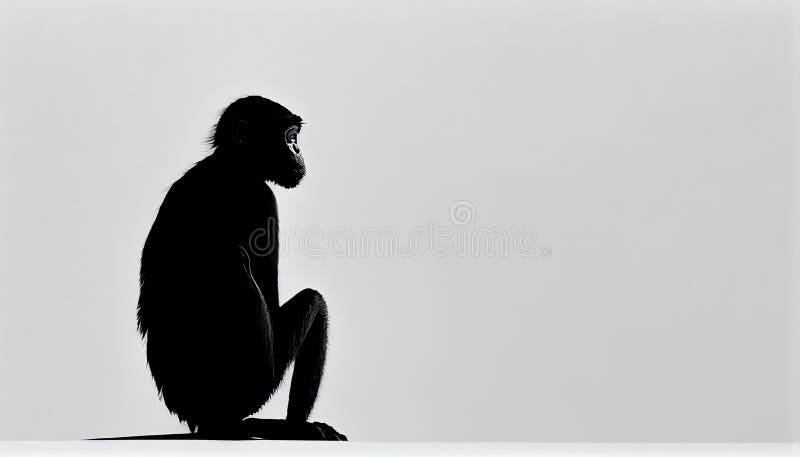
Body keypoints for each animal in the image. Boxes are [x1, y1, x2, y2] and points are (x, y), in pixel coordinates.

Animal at [136, 96, 345, 440]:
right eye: (289, 136)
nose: (297, 149)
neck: (229, 167)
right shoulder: (265, 200)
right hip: (254, 385)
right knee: (310, 301)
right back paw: (289, 426)